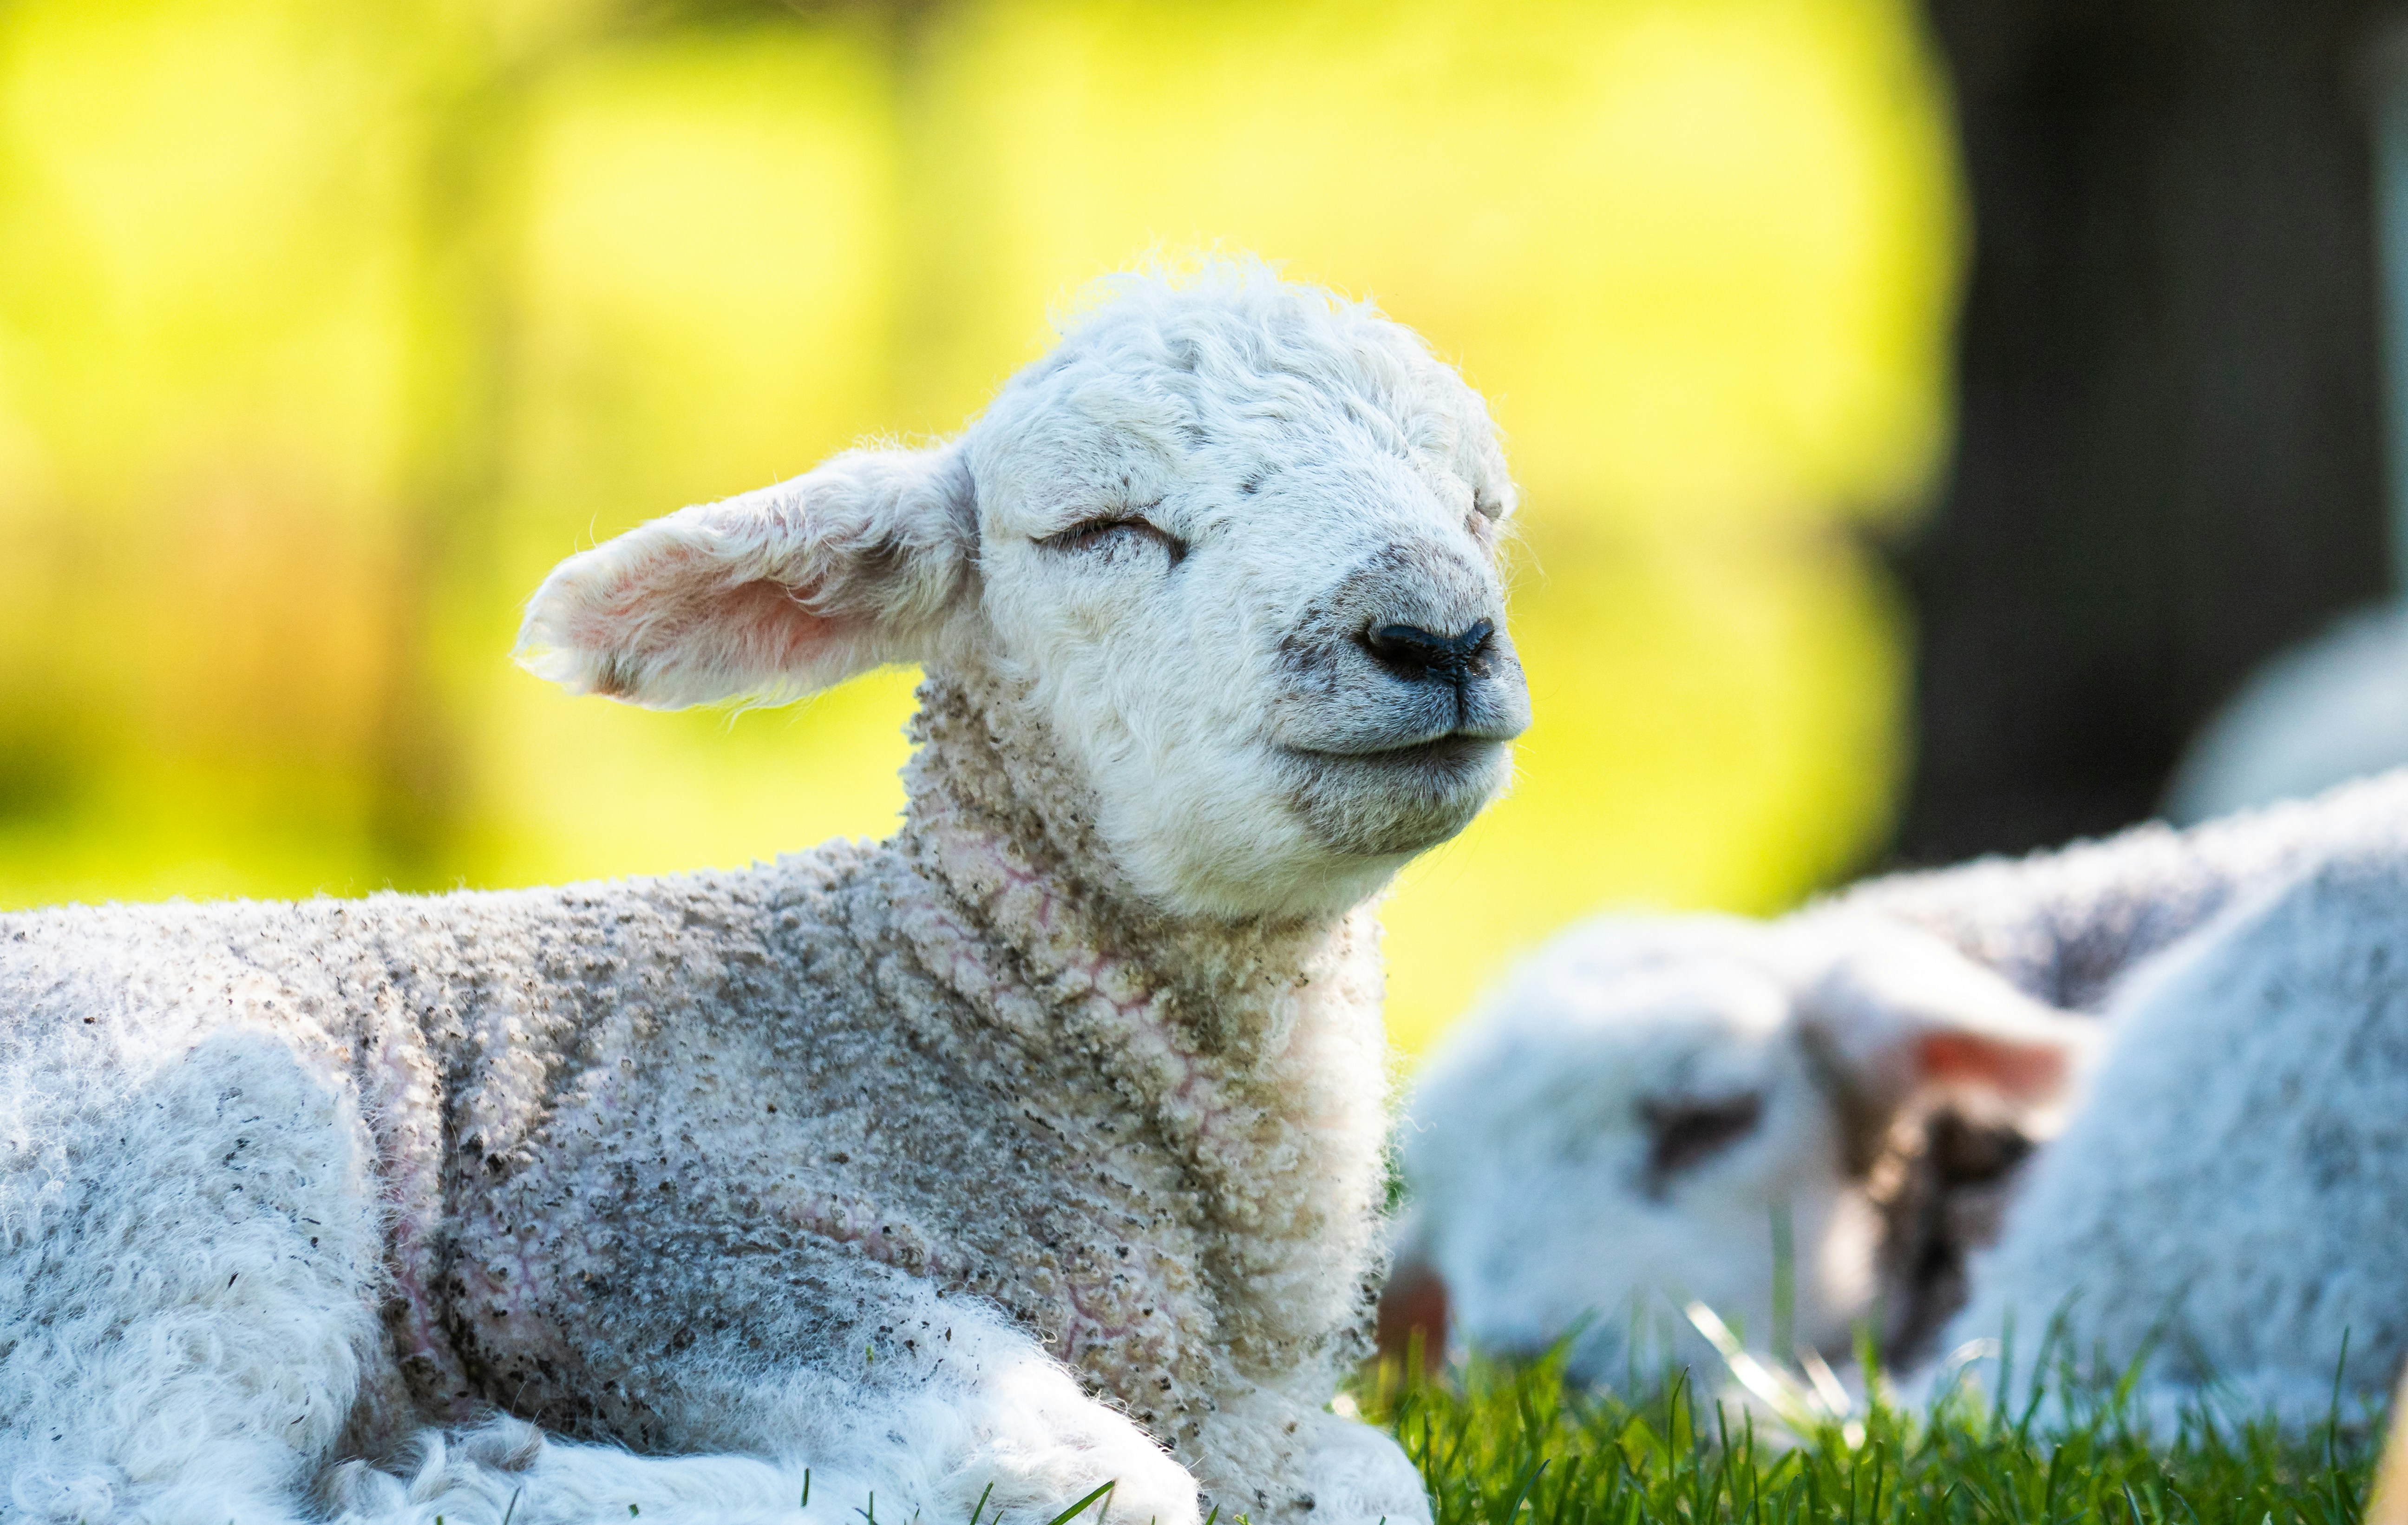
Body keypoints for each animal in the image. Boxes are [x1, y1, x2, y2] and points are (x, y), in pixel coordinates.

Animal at [0, 263, 1531, 1525]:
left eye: (1480, 506)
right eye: (1102, 524)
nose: (1437, 633)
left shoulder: (1244, 1401)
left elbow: (1373, 1478)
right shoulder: (634, 1241)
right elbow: (1089, 1477)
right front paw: (491, 1470)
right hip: (192, 1151)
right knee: (134, 1492)